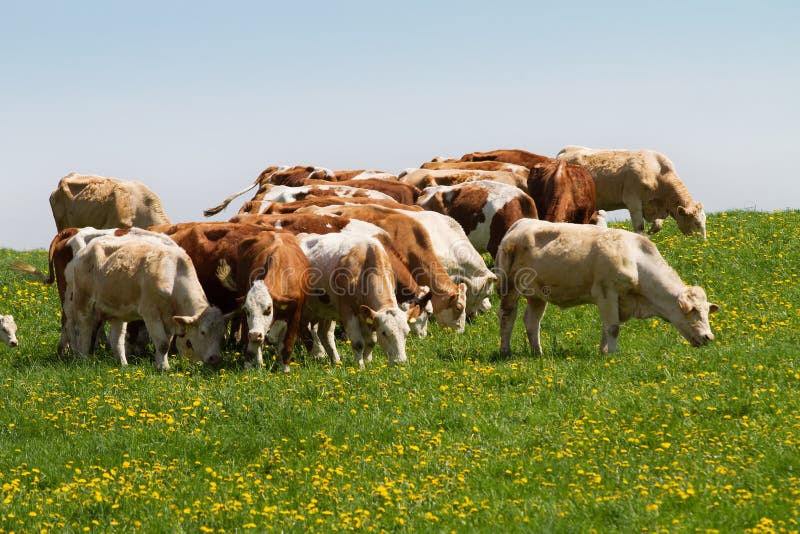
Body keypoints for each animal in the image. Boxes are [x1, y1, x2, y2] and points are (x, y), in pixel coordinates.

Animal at [64, 233, 232, 369]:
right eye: (203, 332)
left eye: (222, 334)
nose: (215, 358)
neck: (174, 275)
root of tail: (84, 250)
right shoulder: (150, 313)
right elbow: (163, 343)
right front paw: (164, 368)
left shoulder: (168, 319)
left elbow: (165, 343)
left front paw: (161, 365)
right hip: (83, 302)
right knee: (84, 329)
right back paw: (84, 359)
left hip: (117, 311)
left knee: (116, 339)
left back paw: (123, 364)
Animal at [149, 222, 310, 372]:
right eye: (248, 310)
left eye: (268, 309)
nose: (255, 334)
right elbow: (251, 346)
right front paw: (252, 369)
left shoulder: (296, 313)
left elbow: (286, 345)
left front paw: (285, 370)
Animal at [299, 232, 412, 368]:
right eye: (384, 333)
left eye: (407, 333)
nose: (400, 362)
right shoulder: (347, 311)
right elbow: (358, 343)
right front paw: (360, 367)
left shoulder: (366, 314)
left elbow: (371, 341)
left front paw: (367, 361)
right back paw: (315, 355)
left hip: (326, 310)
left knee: (325, 333)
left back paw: (335, 360)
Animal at [495, 219, 718, 357]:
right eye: (693, 311)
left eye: (707, 311)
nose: (709, 337)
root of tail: (520, 223)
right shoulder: (606, 293)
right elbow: (612, 327)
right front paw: (613, 353)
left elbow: (606, 326)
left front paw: (603, 352)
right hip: (509, 286)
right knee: (507, 317)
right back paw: (505, 351)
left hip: (537, 296)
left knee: (532, 323)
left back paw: (538, 353)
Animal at [556, 145, 707, 238]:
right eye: (696, 223)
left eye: (704, 221)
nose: (702, 242)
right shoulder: (633, 202)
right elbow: (639, 227)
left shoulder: (654, 205)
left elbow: (657, 225)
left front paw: (650, 233)